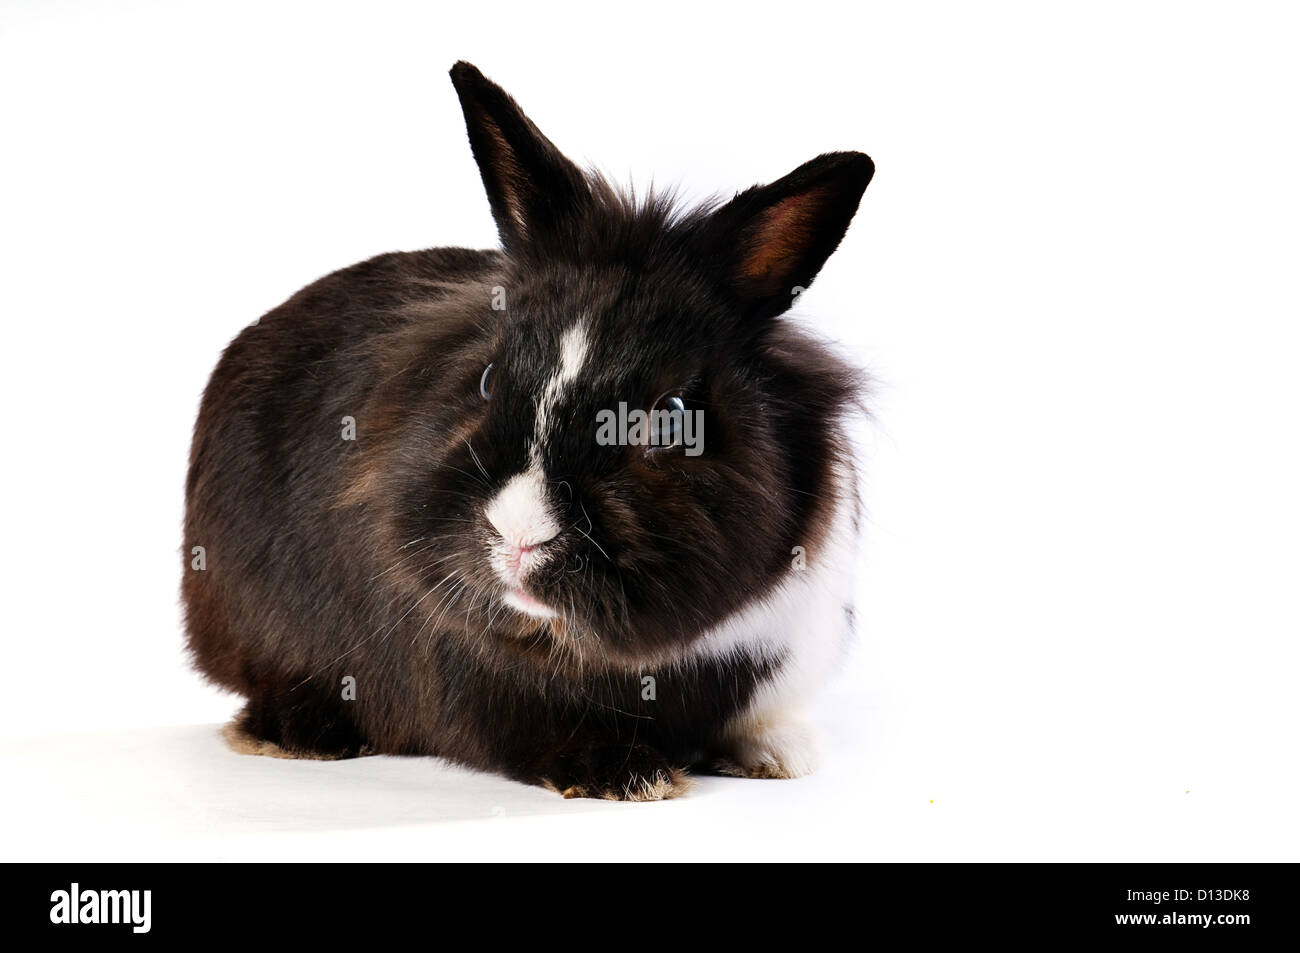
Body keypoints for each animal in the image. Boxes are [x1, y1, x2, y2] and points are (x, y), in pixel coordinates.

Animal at [182, 61, 874, 800]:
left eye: (670, 417)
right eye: (488, 379)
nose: (518, 538)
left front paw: (781, 755)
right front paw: (627, 774)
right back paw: (300, 734)